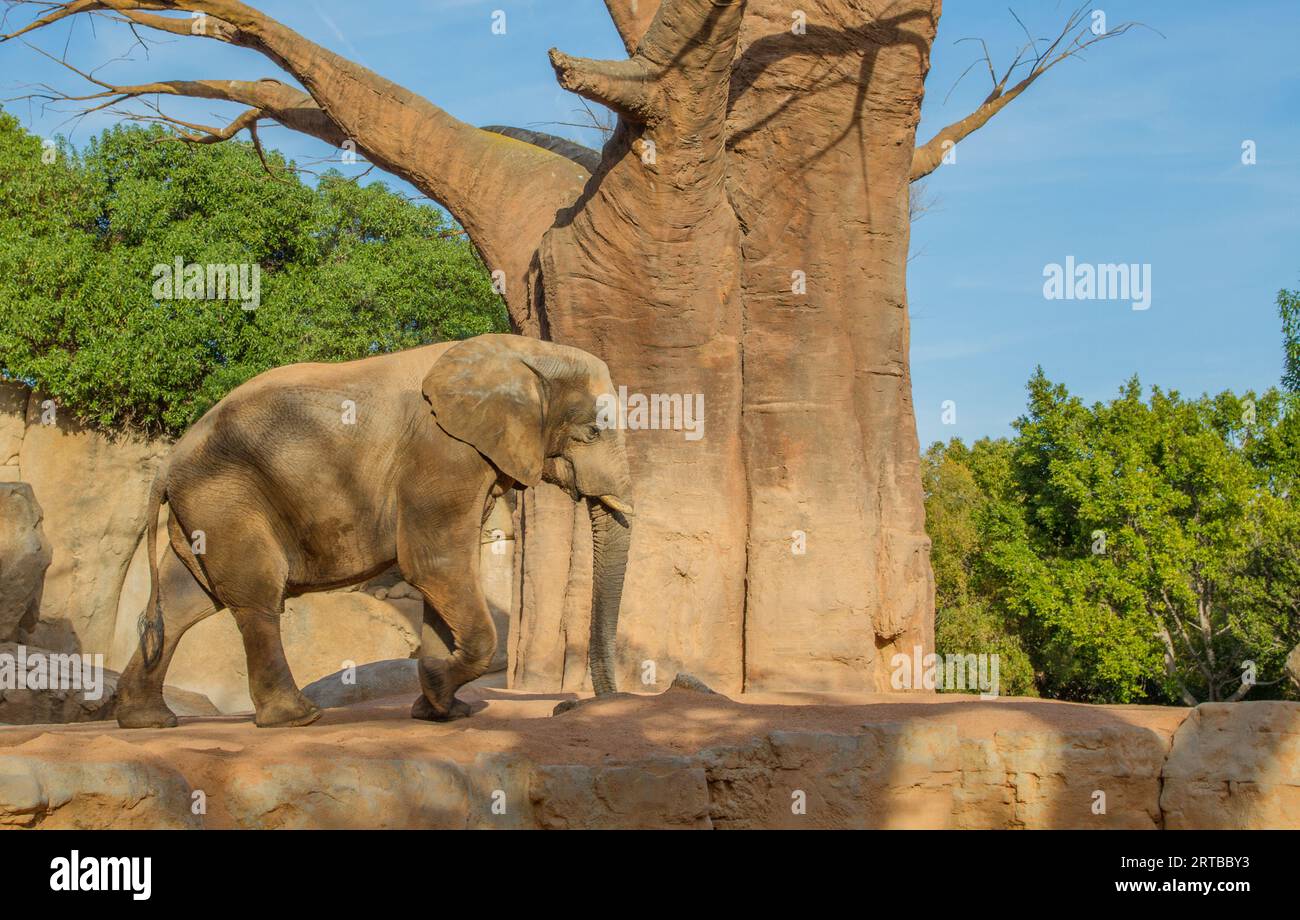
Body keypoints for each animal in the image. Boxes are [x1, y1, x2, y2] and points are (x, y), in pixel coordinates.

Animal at [115, 333, 633, 729]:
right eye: (591, 432)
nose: (569, 705)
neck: (524, 351)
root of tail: (167, 464)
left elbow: (443, 575)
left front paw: (440, 708)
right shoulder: (442, 452)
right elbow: (435, 565)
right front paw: (439, 690)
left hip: (204, 510)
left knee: (182, 602)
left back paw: (147, 721)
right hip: (227, 497)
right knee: (255, 596)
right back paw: (297, 718)